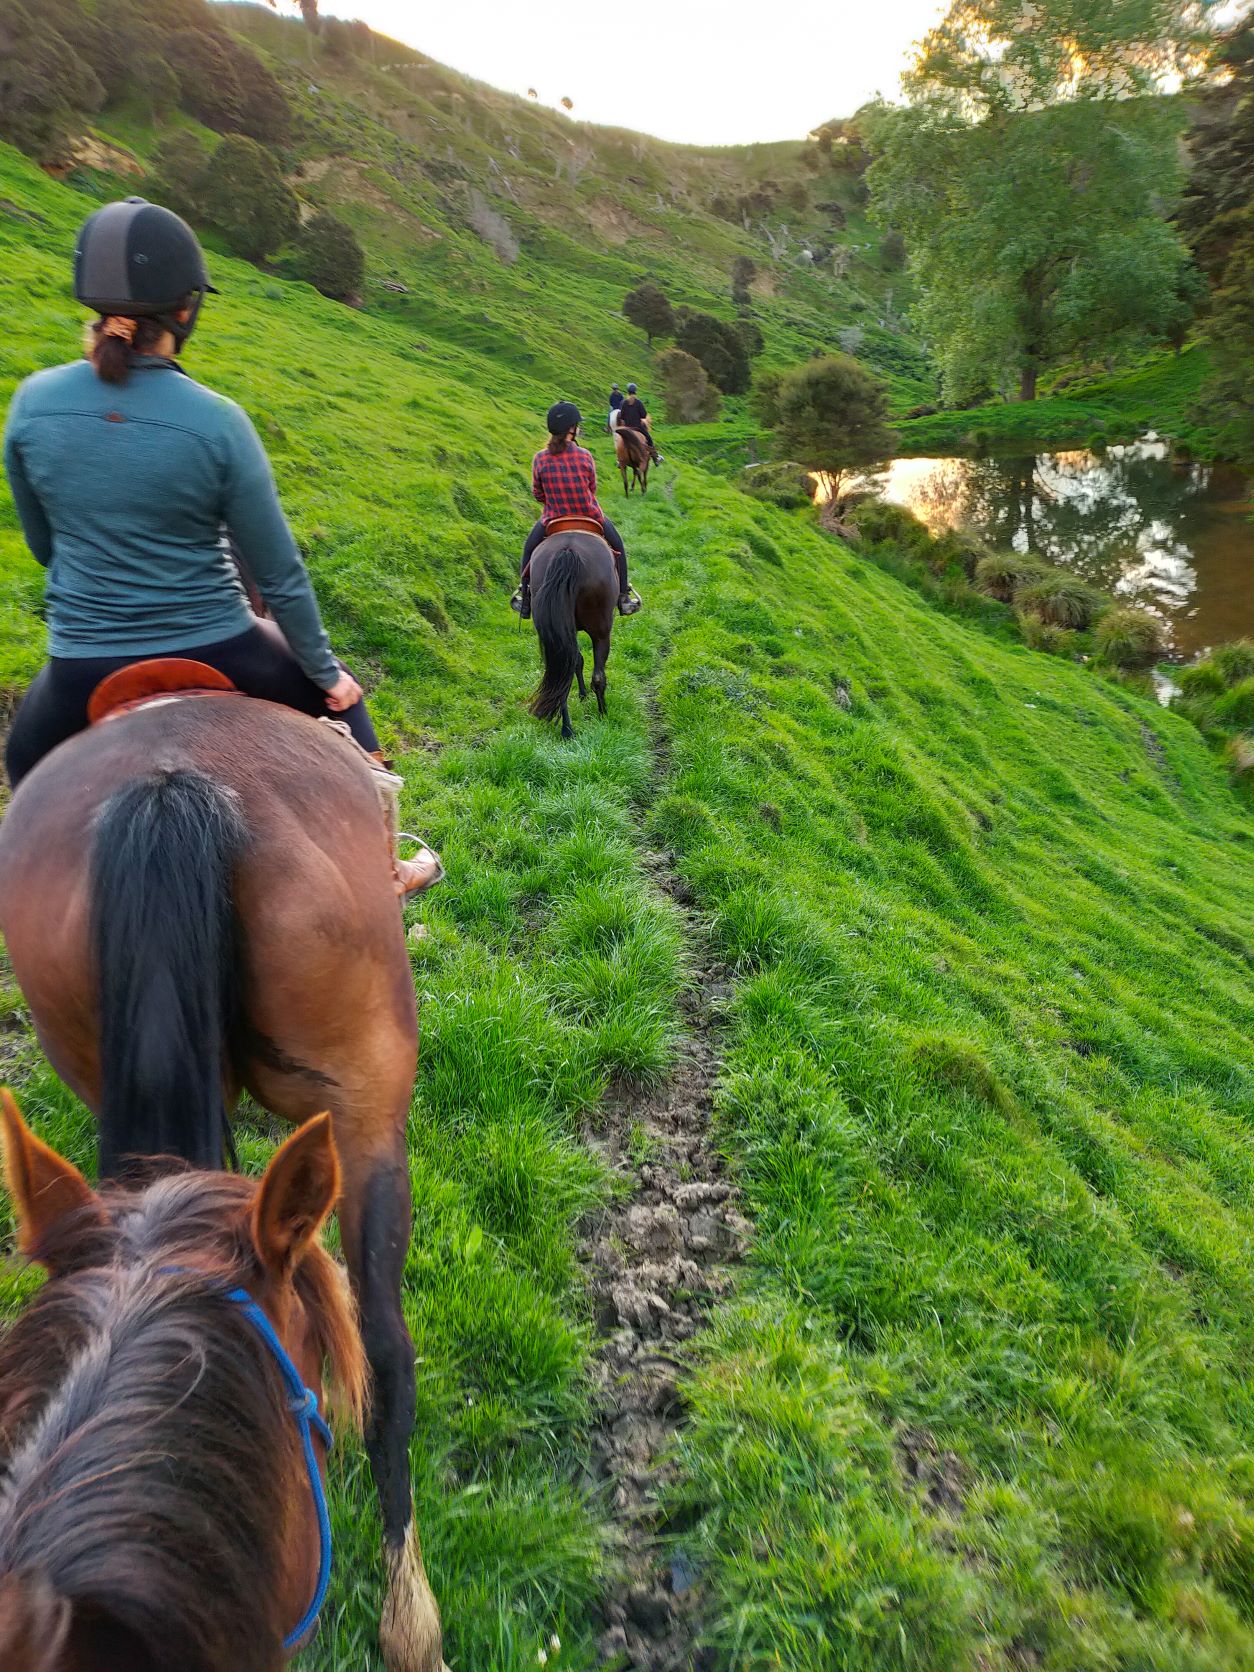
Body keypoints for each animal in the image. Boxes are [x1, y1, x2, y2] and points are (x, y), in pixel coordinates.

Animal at [529, 528, 616, 739]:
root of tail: (567, 551)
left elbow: (576, 660)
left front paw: (582, 695)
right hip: (601, 631)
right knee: (598, 677)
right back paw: (603, 715)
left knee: (562, 674)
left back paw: (567, 729)